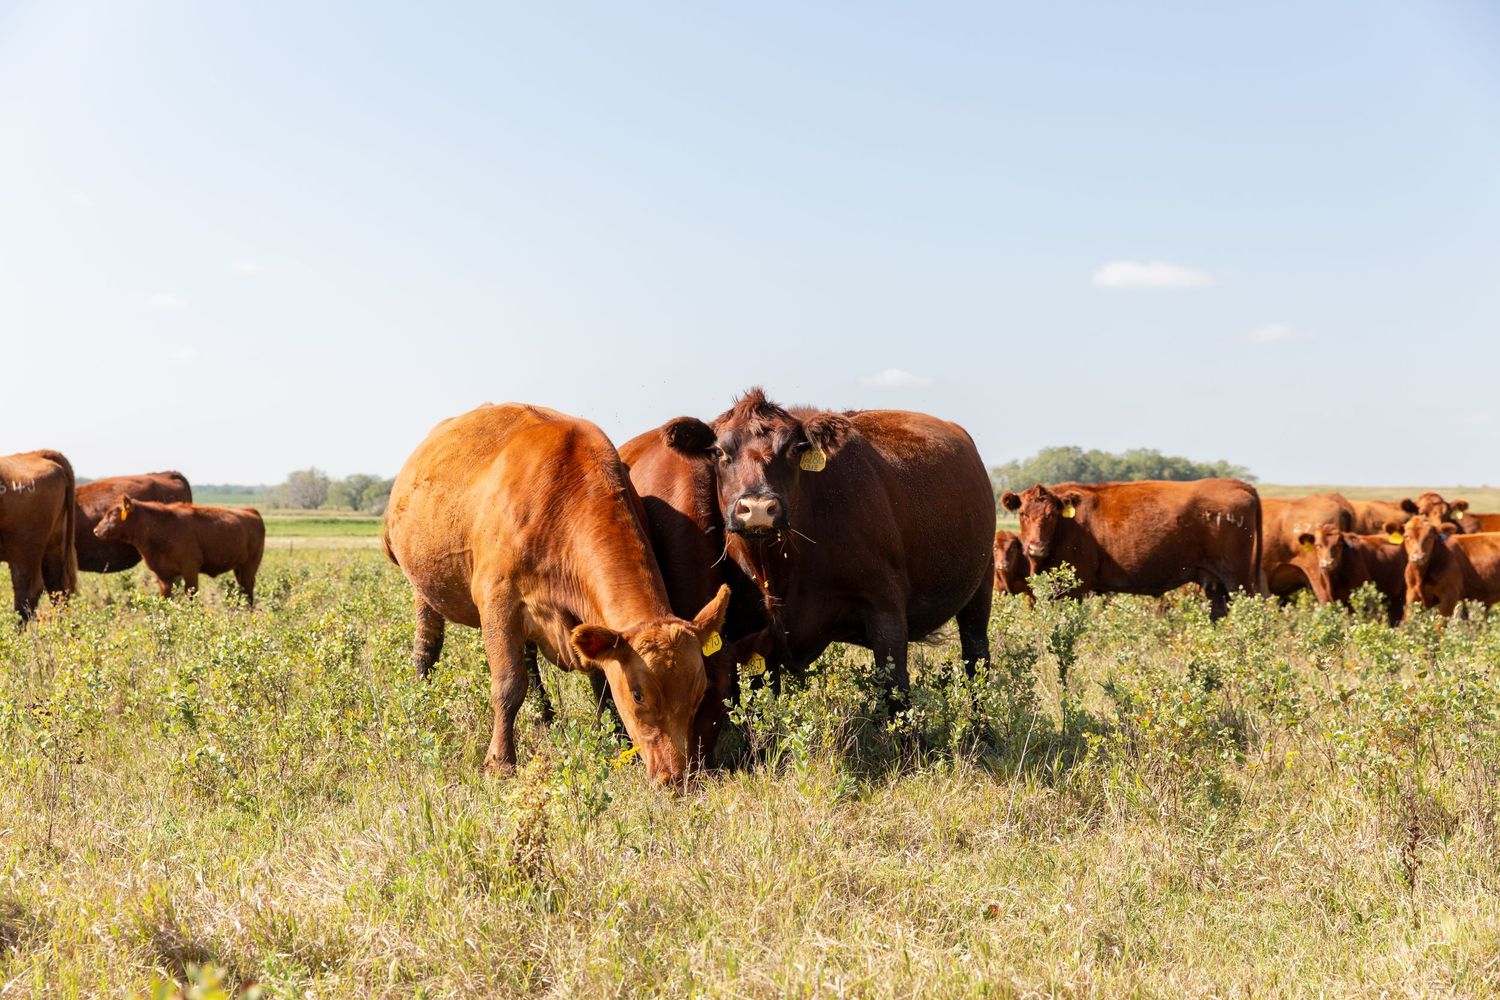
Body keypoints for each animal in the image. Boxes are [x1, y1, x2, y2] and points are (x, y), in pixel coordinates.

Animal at [93, 497, 264, 605]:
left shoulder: (190, 570)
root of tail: (251, 511)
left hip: (250, 567)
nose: (96, 530)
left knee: (248, 592)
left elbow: (191, 597)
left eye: (113, 513)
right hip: (239, 568)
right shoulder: (163, 575)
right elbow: (165, 599)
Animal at [383, 403, 730, 787]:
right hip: (422, 589)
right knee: (427, 648)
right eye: (638, 694)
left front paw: (617, 745)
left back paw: (543, 718)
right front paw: (500, 761)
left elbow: (601, 685)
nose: (676, 777)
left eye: (699, 691)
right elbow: (508, 684)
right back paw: (423, 702)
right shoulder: (498, 600)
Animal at [658, 389, 994, 701]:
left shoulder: (886, 611)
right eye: (718, 450)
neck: (782, 569)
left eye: (794, 449)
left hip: (980, 589)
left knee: (977, 661)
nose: (758, 508)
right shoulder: (753, 632)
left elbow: (896, 696)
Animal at [1000, 479, 1261, 619]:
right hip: (1214, 582)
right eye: (1023, 514)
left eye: (1052, 515)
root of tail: (1237, 484)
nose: (1036, 547)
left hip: (1237, 580)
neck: (1069, 525)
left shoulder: (1076, 588)